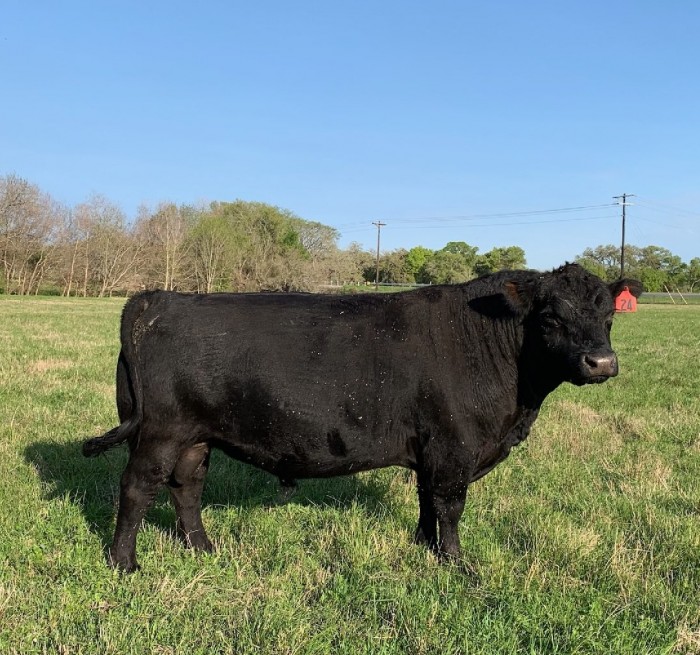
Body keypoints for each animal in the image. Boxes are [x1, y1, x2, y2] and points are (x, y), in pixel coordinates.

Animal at [83, 263, 642, 572]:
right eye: (550, 316)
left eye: (609, 315)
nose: (602, 362)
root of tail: (157, 298)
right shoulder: (453, 447)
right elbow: (451, 506)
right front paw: (457, 563)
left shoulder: (431, 448)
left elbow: (426, 501)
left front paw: (423, 546)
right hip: (160, 432)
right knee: (137, 488)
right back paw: (125, 563)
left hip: (195, 437)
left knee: (186, 488)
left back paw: (203, 548)